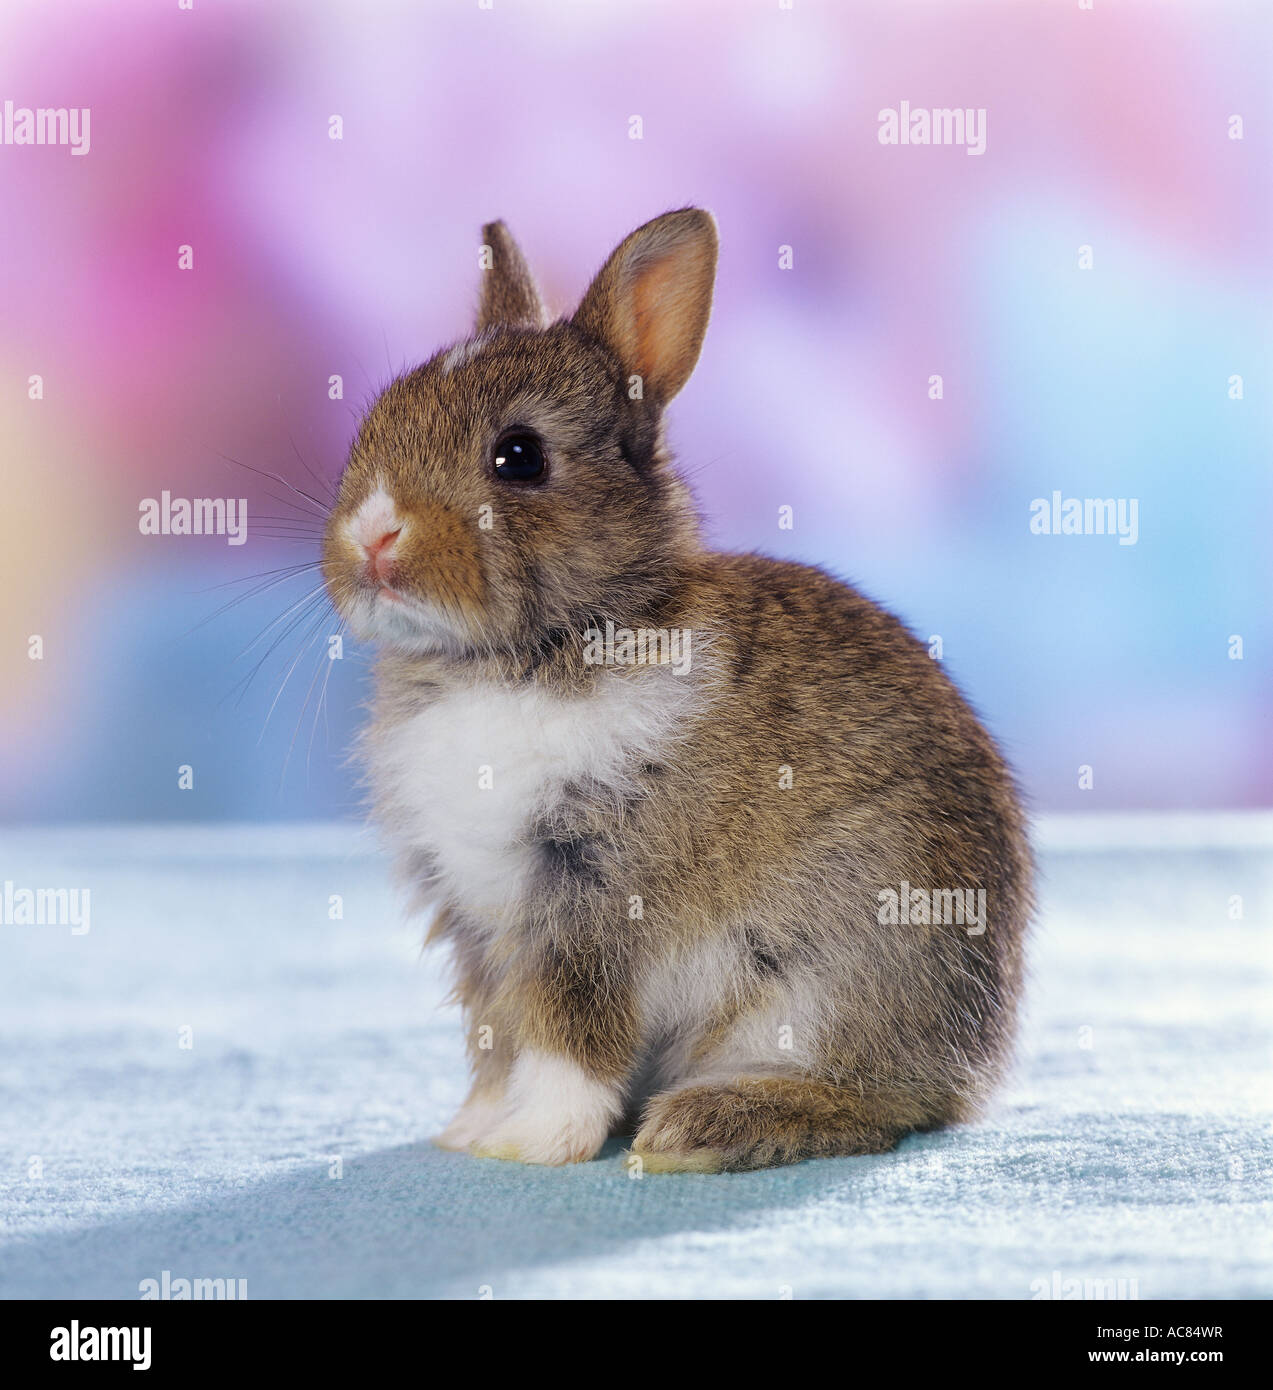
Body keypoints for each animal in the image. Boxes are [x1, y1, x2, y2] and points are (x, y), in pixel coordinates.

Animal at [321, 208, 1033, 1172]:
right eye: (378, 415)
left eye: (518, 457)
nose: (374, 536)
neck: (531, 651)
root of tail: (971, 1065)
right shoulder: (476, 919)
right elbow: (497, 1035)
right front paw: (471, 1130)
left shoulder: (589, 891)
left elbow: (567, 1033)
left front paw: (537, 1143)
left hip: (826, 969)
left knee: (872, 1105)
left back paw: (700, 1127)